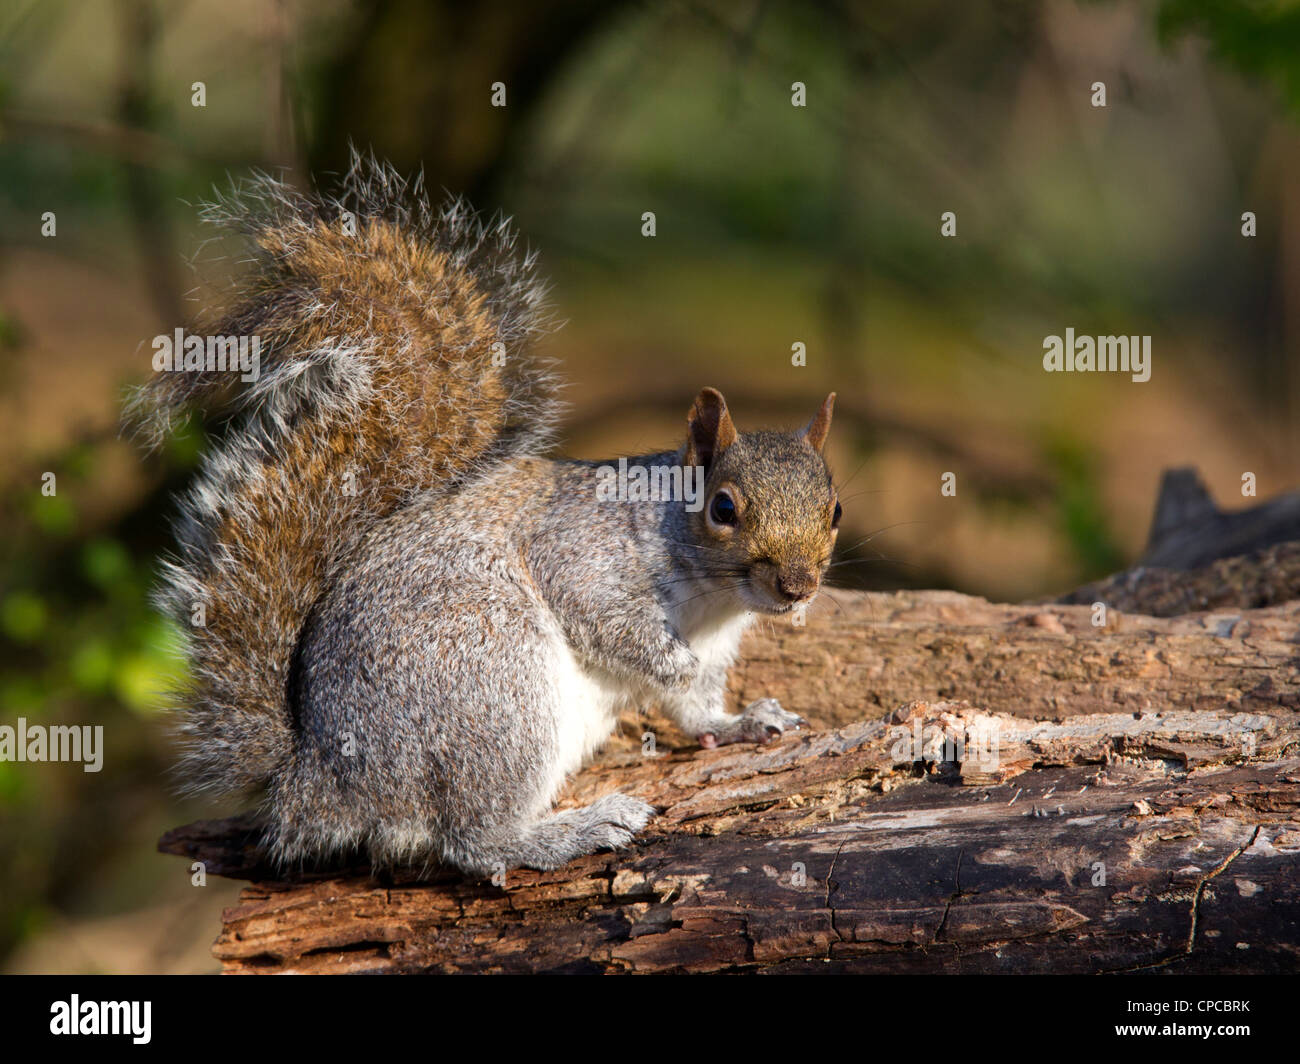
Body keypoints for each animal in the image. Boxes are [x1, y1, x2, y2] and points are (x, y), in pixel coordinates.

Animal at [129, 153, 841, 876]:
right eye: (723, 508)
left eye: (835, 509)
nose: (798, 587)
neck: (712, 599)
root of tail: (324, 782)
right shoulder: (582, 552)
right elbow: (613, 625)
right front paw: (675, 666)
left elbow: (696, 712)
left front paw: (742, 720)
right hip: (497, 686)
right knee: (475, 838)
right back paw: (572, 830)